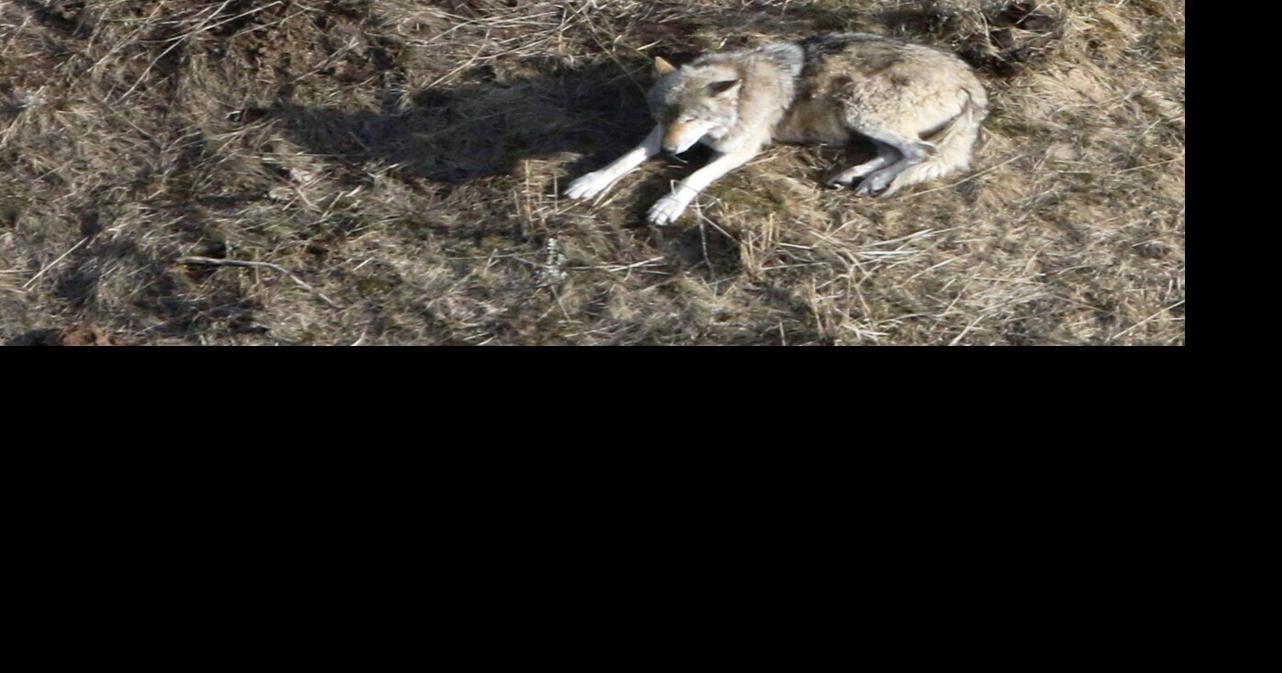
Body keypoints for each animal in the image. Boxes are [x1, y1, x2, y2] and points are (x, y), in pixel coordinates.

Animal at [564, 33, 989, 226]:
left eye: (691, 118)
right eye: (665, 118)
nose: (670, 153)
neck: (740, 99)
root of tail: (971, 79)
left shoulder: (740, 150)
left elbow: (693, 178)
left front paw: (669, 205)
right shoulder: (661, 136)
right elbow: (625, 158)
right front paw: (590, 181)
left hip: (858, 107)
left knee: (922, 152)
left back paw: (875, 182)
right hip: (855, 118)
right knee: (894, 152)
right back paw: (854, 175)